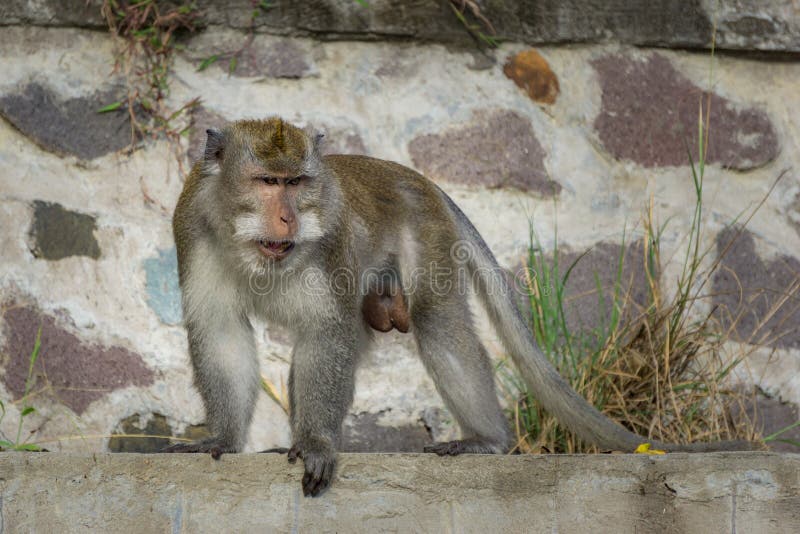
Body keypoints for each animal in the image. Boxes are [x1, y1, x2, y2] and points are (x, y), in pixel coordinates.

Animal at [164, 117, 754, 497]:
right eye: (266, 182)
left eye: (297, 183)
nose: (289, 217)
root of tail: (419, 179)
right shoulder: (193, 226)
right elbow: (220, 332)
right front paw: (222, 438)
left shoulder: (329, 246)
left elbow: (325, 333)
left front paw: (314, 443)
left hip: (426, 238)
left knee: (437, 322)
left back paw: (487, 442)